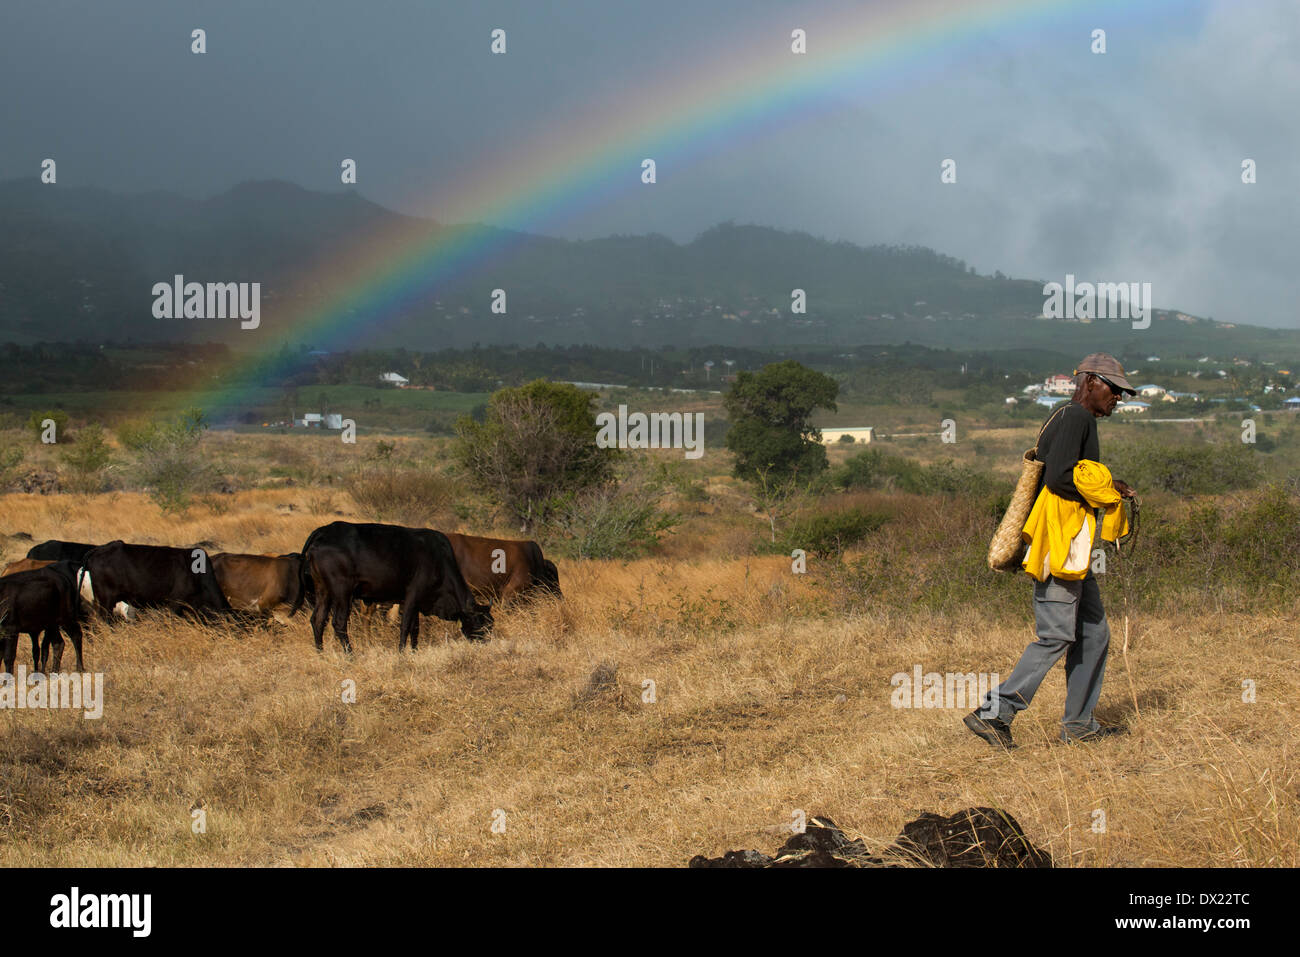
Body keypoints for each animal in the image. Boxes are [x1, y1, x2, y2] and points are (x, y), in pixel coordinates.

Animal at [293, 522, 492, 654]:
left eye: (491, 625)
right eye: (480, 623)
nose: (486, 644)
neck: (440, 559)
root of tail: (324, 531)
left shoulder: (413, 603)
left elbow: (415, 628)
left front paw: (414, 651)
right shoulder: (412, 596)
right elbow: (405, 626)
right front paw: (401, 653)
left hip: (323, 592)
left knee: (318, 620)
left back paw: (320, 652)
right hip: (342, 593)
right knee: (339, 623)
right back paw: (350, 654)